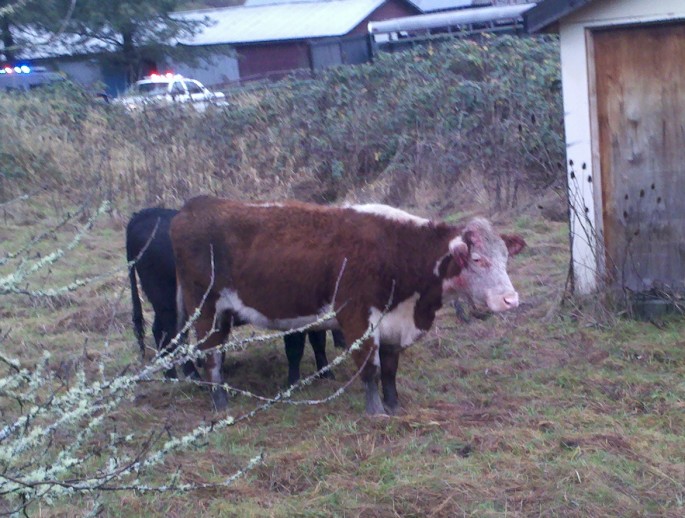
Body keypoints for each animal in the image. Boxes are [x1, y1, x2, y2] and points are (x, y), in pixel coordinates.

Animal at [126, 207, 343, 383]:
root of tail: (144, 214)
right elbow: (295, 347)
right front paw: (294, 381)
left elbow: (318, 342)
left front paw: (326, 374)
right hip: (168, 304)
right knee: (173, 336)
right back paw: (191, 376)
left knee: (160, 332)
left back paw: (171, 376)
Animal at [170, 196, 526, 415]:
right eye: (477, 260)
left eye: (505, 258)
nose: (510, 299)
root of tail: (194, 205)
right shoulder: (357, 316)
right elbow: (370, 368)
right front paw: (376, 412)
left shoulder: (393, 325)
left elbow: (390, 369)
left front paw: (393, 405)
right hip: (205, 310)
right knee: (211, 356)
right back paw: (220, 403)